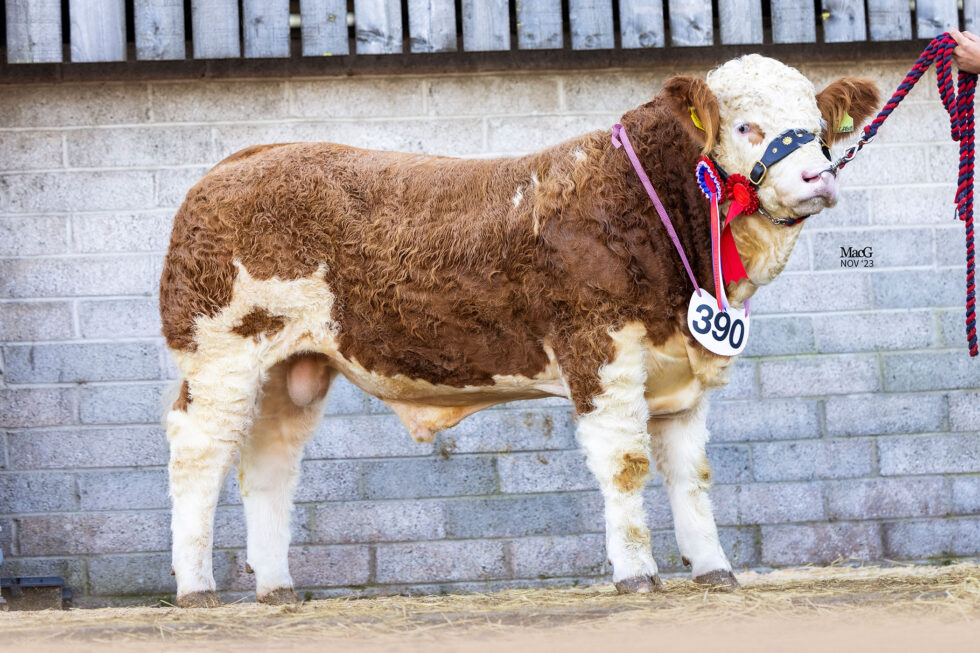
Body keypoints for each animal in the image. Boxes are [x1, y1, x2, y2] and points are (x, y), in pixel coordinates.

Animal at [159, 55, 879, 607]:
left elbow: (692, 474)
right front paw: (637, 575)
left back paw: (277, 587)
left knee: (268, 463)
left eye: (818, 126)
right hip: (220, 353)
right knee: (199, 453)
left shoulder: (679, 370)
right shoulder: (599, 349)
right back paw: (197, 588)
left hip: (291, 367)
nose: (819, 174)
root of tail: (240, 160)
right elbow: (626, 465)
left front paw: (714, 569)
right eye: (746, 125)